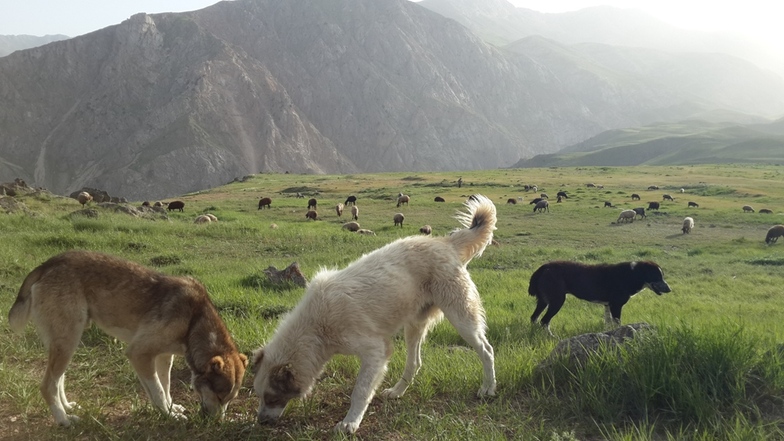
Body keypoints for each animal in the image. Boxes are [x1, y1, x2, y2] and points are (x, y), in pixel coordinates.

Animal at [6, 251, 245, 426]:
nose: (218, 422)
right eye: (219, 396)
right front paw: (169, 415)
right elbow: (158, 390)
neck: (194, 319)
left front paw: (170, 408)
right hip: (68, 340)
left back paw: (67, 407)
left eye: (229, 400)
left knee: (58, 380)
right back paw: (63, 419)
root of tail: (47, 264)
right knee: (48, 385)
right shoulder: (139, 353)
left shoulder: (163, 357)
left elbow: (165, 386)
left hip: (65, 341)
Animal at [251, 194, 496, 432]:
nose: (261, 422)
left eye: (272, 398)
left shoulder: (375, 351)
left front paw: (350, 422)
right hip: (413, 326)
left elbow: (360, 391)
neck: (317, 325)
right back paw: (397, 392)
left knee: (487, 350)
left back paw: (488, 388)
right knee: (415, 363)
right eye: (260, 396)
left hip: (461, 317)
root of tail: (446, 242)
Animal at [528, 260, 668, 332]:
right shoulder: (616, 306)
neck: (632, 274)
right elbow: (617, 323)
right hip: (557, 300)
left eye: (662, 276)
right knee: (544, 321)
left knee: (534, 317)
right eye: (657, 276)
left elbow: (608, 322)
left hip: (544, 301)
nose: (669, 289)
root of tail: (545, 266)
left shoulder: (608, 306)